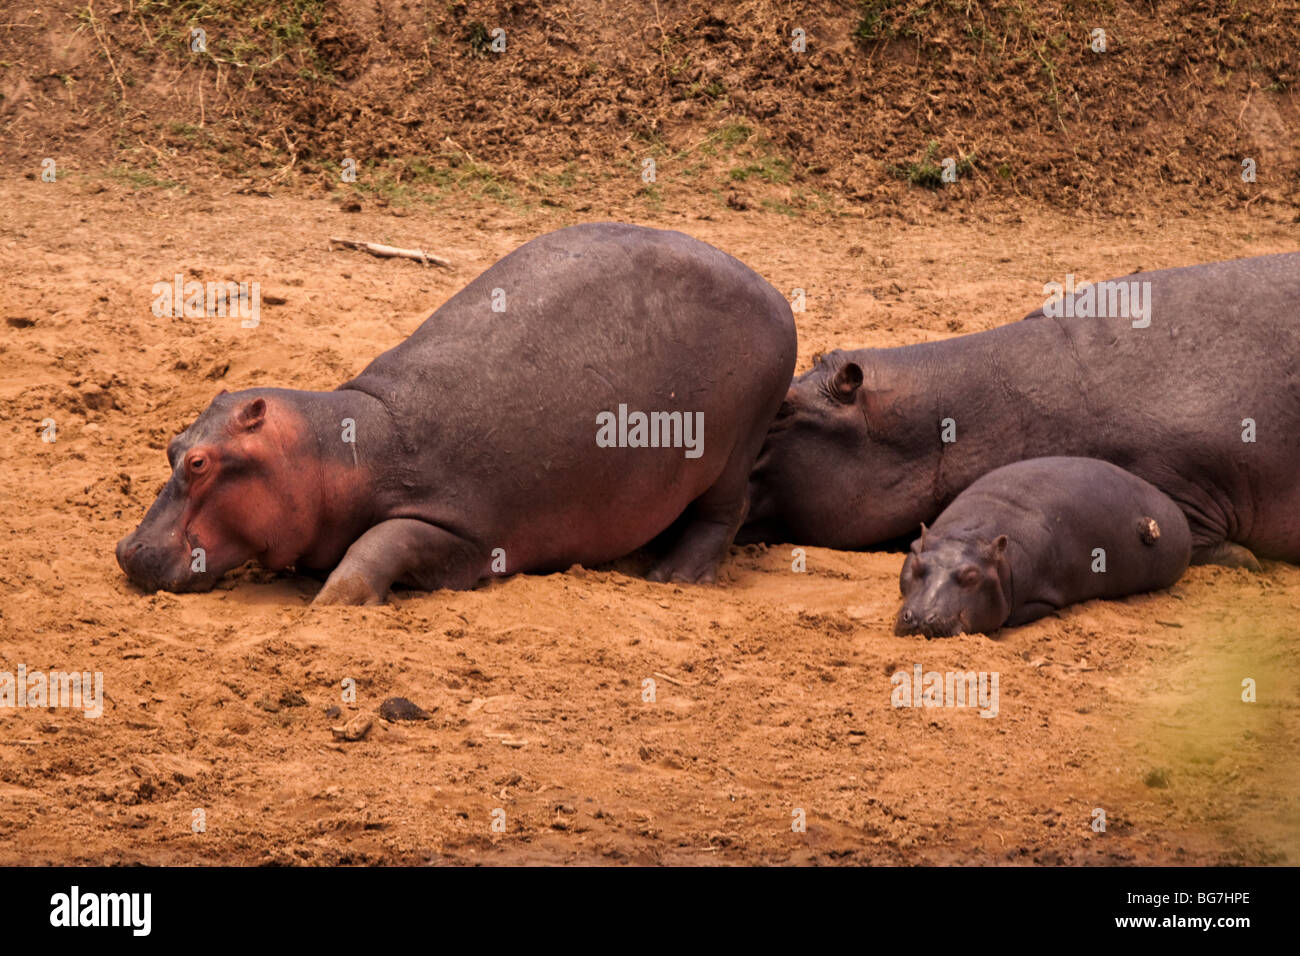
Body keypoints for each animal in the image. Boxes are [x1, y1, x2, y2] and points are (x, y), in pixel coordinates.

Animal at [116, 223, 797, 604]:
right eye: (172, 445)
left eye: (201, 464)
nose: (127, 549)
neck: (338, 450)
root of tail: (774, 292)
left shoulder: (463, 531)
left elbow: (379, 543)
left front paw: (329, 606)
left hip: (731, 453)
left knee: (723, 513)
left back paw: (672, 577)